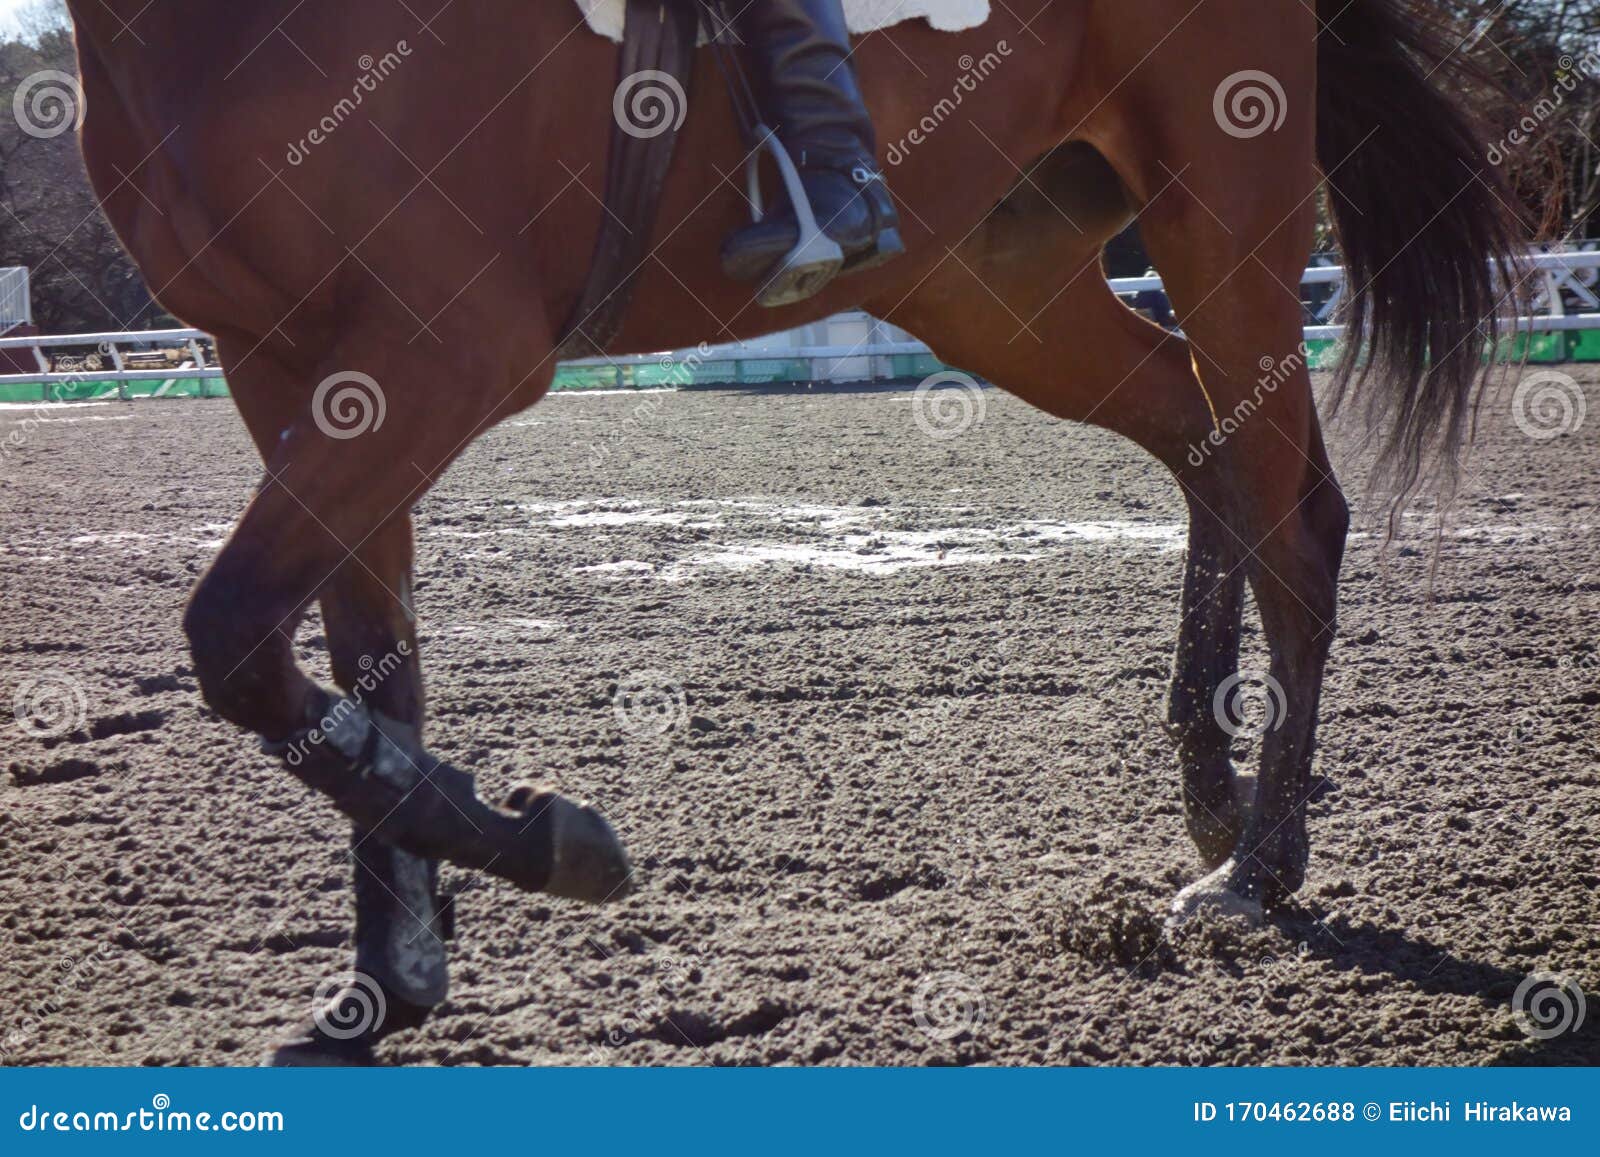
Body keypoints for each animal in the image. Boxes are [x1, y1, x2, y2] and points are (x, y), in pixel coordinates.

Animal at [63, 0, 1525, 1062]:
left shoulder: (441, 355)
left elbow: (234, 639)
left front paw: (551, 844)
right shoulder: (286, 364)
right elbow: (362, 667)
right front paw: (396, 970)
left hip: (1220, 203)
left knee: (1298, 517)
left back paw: (1258, 867)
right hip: (1001, 271)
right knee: (1201, 441)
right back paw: (1211, 794)